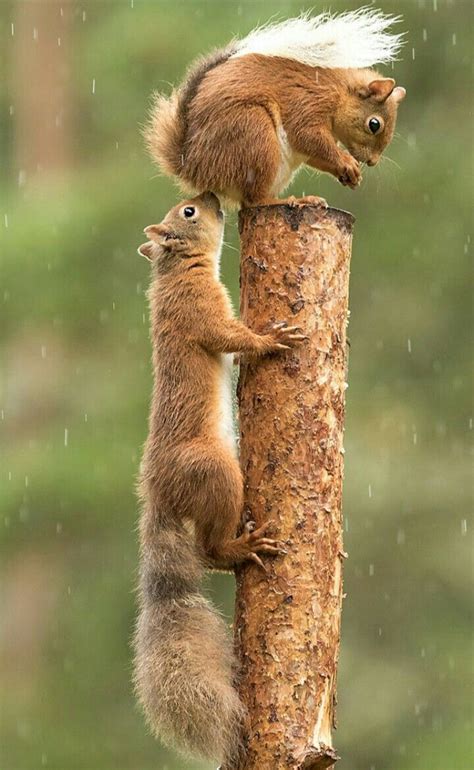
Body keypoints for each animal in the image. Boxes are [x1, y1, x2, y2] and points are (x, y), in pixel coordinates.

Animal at [133, 191, 306, 765]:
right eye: (188, 212)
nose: (209, 197)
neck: (178, 270)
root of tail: (157, 494)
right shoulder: (199, 310)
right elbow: (230, 336)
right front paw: (271, 339)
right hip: (217, 472)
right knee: (208, 551)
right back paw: (240, 546)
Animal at [146, 9, 406, 207]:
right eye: (374, 124)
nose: (372, 162)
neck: (339, 93)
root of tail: (192, 167)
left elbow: (314, 153)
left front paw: (349, 173)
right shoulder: (308, 102)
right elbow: (307, 136)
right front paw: (347, 162)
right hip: (253, 132)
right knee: (254, 201)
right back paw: (292, 201)